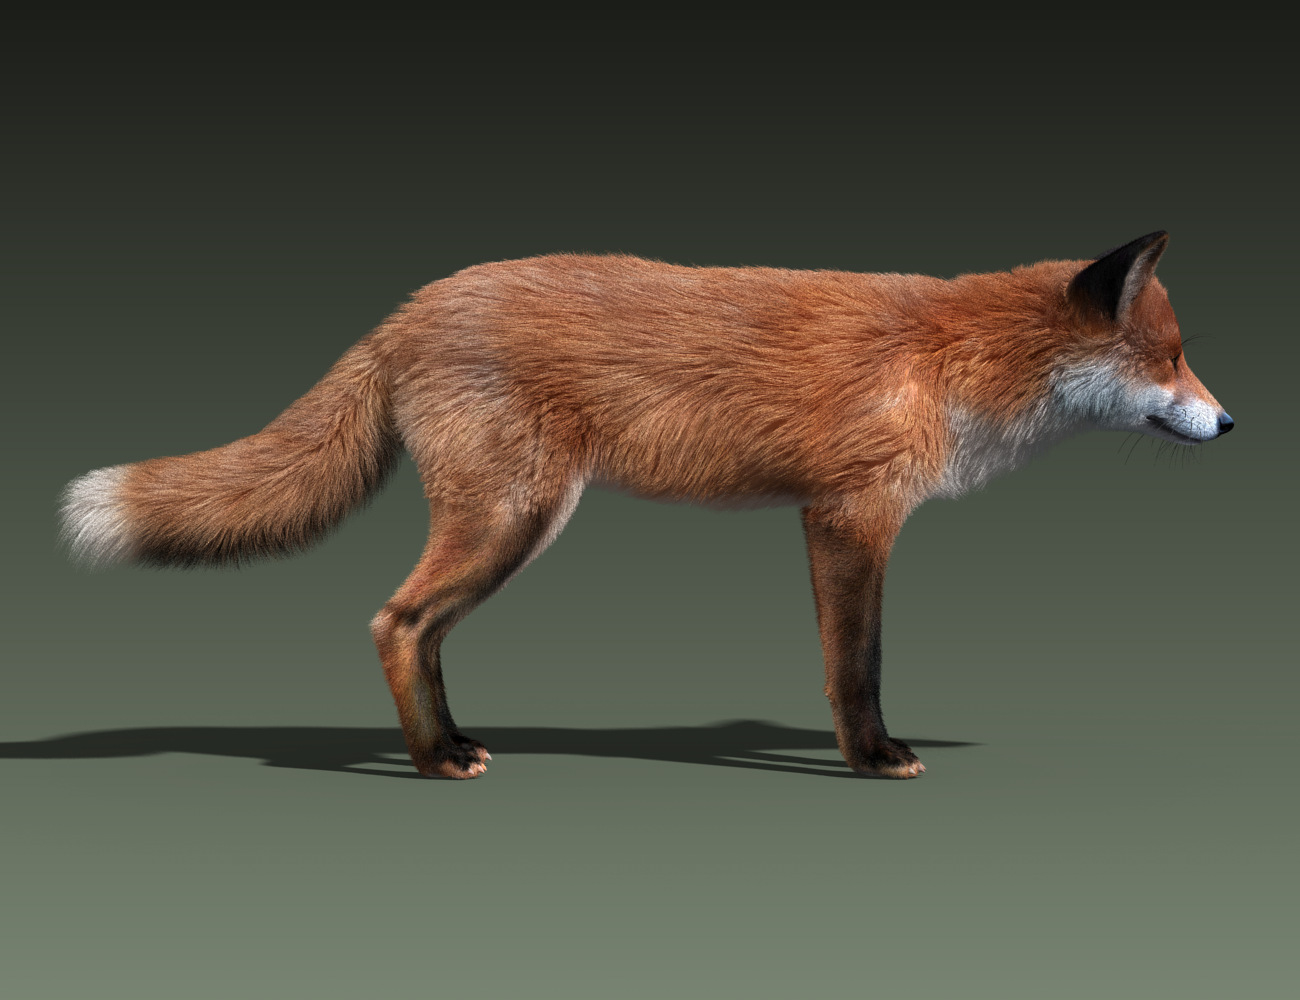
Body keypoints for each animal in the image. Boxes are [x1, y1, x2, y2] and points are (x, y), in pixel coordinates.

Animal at [60, 231, 1232, 780]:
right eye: (1169, 359)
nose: (1231, 425)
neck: (947, 360)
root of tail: (408, 308)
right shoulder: (849, 514)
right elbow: (855, 663)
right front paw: (871, 756)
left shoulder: (834, 517)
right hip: (512, 519)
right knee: (396, 621)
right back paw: (433, 760)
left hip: (515, 524)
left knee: (420, 631)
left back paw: (454, 740)